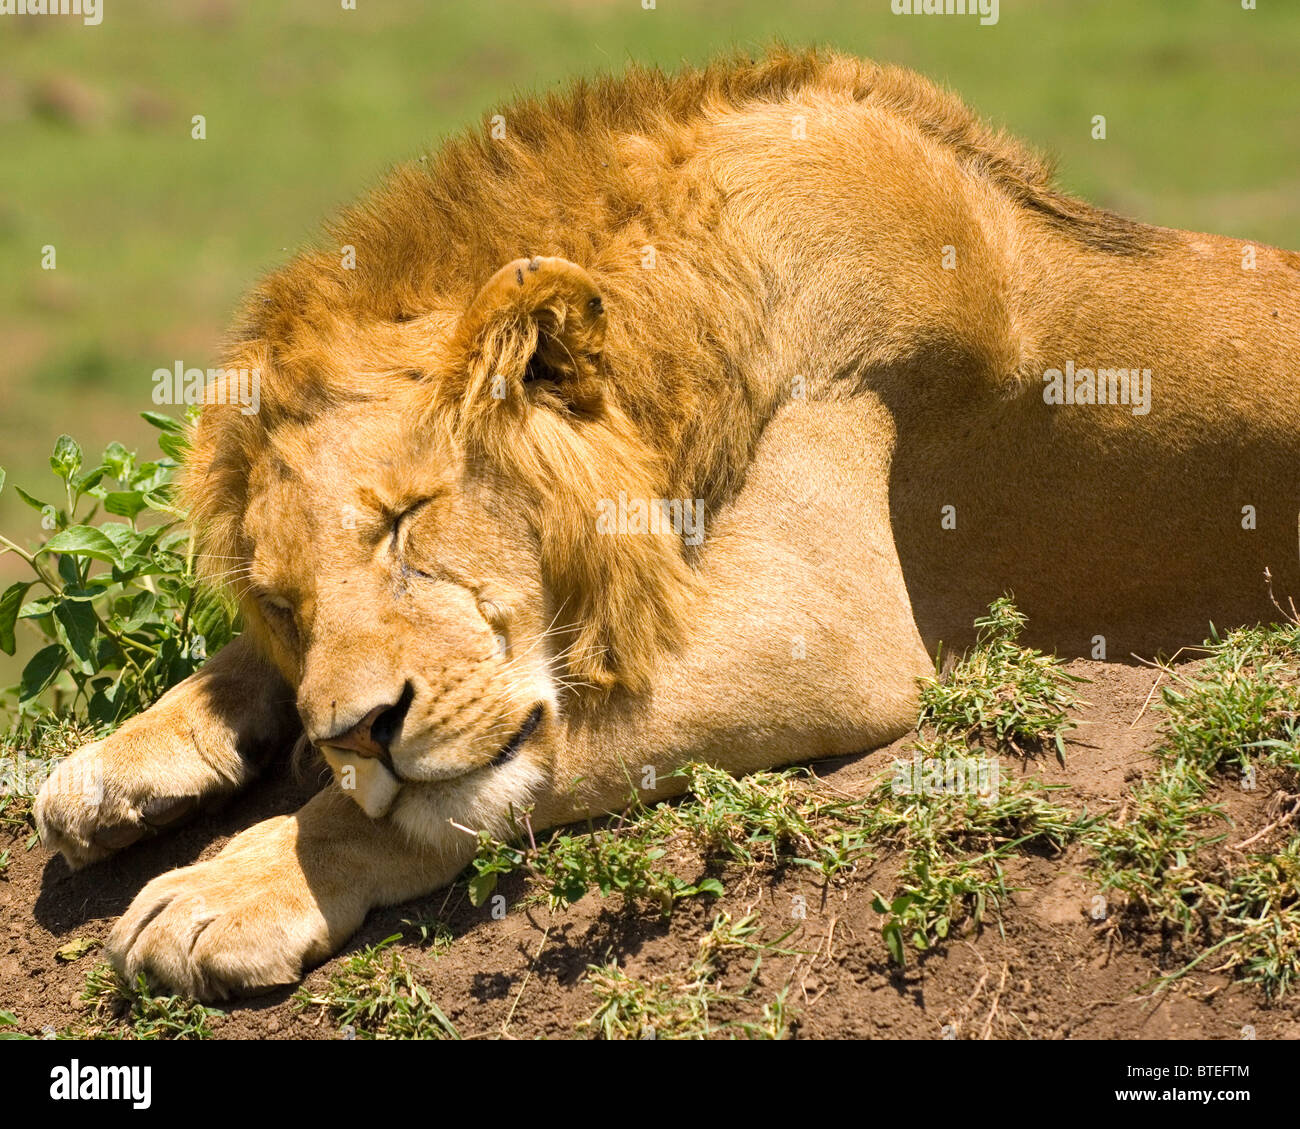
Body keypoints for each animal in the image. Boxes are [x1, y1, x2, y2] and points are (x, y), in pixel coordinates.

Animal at [33, 47, 1300, 999]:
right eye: (283, 604)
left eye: (406, 519)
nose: (359, 732)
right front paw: (118, 762)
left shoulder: (825, 627)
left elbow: (490, 777)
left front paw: (230, 887)